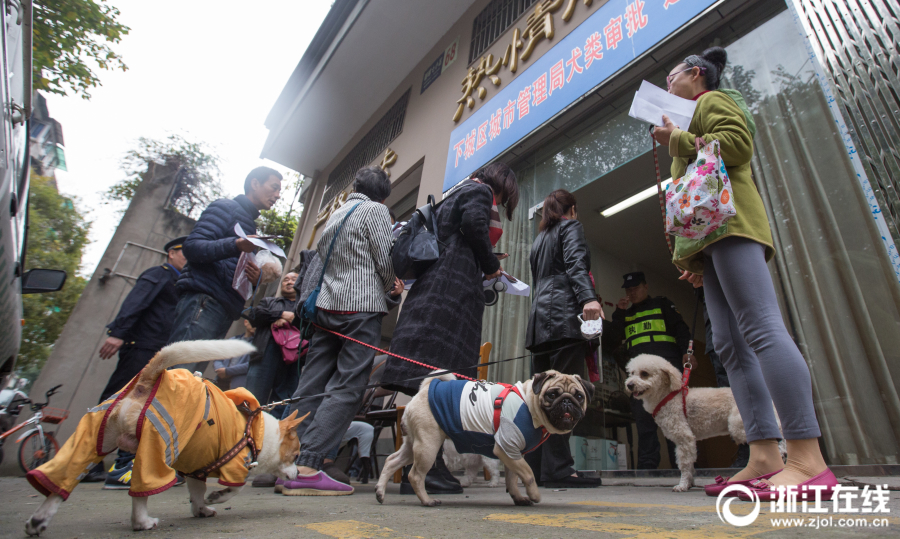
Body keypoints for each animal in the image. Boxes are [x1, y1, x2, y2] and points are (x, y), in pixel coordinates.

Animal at [23, 342, 310, 536]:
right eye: (296, 455)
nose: (299, 474)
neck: (259, 431)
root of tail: (147, 380)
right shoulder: (234, 466)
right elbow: (233, 489)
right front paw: (216, 497)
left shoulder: (196, 467)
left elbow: (196, 493)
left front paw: (201, 509)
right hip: (159, 448)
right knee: (141, 490)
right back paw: (143, 522)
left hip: (92, 441)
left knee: (61, 482)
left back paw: (38, 521)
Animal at [376, 370, 596, 508]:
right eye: (552, 395)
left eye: (579, 396)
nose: (567, 401)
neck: (529, 404)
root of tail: (423, 391)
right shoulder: (507, 448)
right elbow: (528, 474)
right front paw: (534, 495)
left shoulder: (513, 453)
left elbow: (513, 479)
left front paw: (518, 498)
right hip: (428, 446)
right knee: (415, 475)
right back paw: (427, 501)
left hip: (413, 443)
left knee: (391, 461)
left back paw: (380, 492)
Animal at [624, 354, 780, 494]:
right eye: (631, 373)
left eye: (644, 374)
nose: (629, 385)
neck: (667, 397)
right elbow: (690, 465)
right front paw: (689, 483)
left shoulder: (684, 437)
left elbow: (685, 464)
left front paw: (682, 485)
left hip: (739, 425)